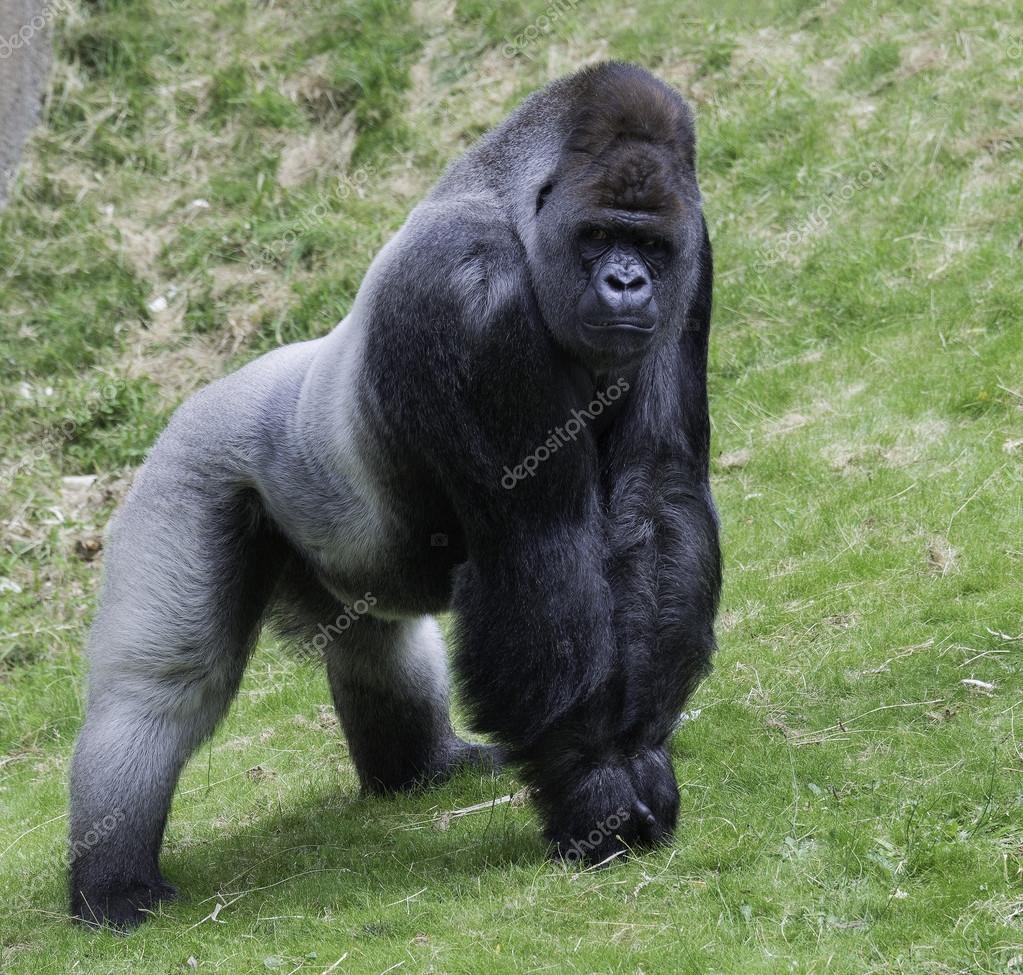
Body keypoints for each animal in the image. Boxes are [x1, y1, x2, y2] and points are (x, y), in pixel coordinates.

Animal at [68, 61, 720, 928]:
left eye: (648, 242)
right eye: (596, 236)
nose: (626, 281)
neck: (515, 205)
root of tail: (206, 394)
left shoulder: (695, 257)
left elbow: (658, 491)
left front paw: (639, 750)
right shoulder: (469, 293)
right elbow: (537, 539)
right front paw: (594, 788)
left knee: (377, 640)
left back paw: (423, 767)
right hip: (189, 469)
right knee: (161, 687)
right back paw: (112, 886)